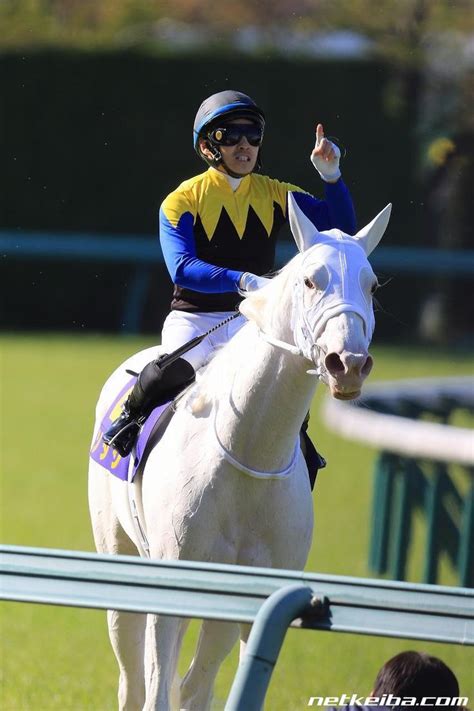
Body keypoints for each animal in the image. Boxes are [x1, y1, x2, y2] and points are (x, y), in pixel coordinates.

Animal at [88, 194, 391, 711]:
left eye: (371, 285)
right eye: (311, 280)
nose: (348, 364)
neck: (248, 452)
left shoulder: (255, 598)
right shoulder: (168, 588)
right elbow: (156, 688)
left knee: (194, 684)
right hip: (117, 554)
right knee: (134, 679)